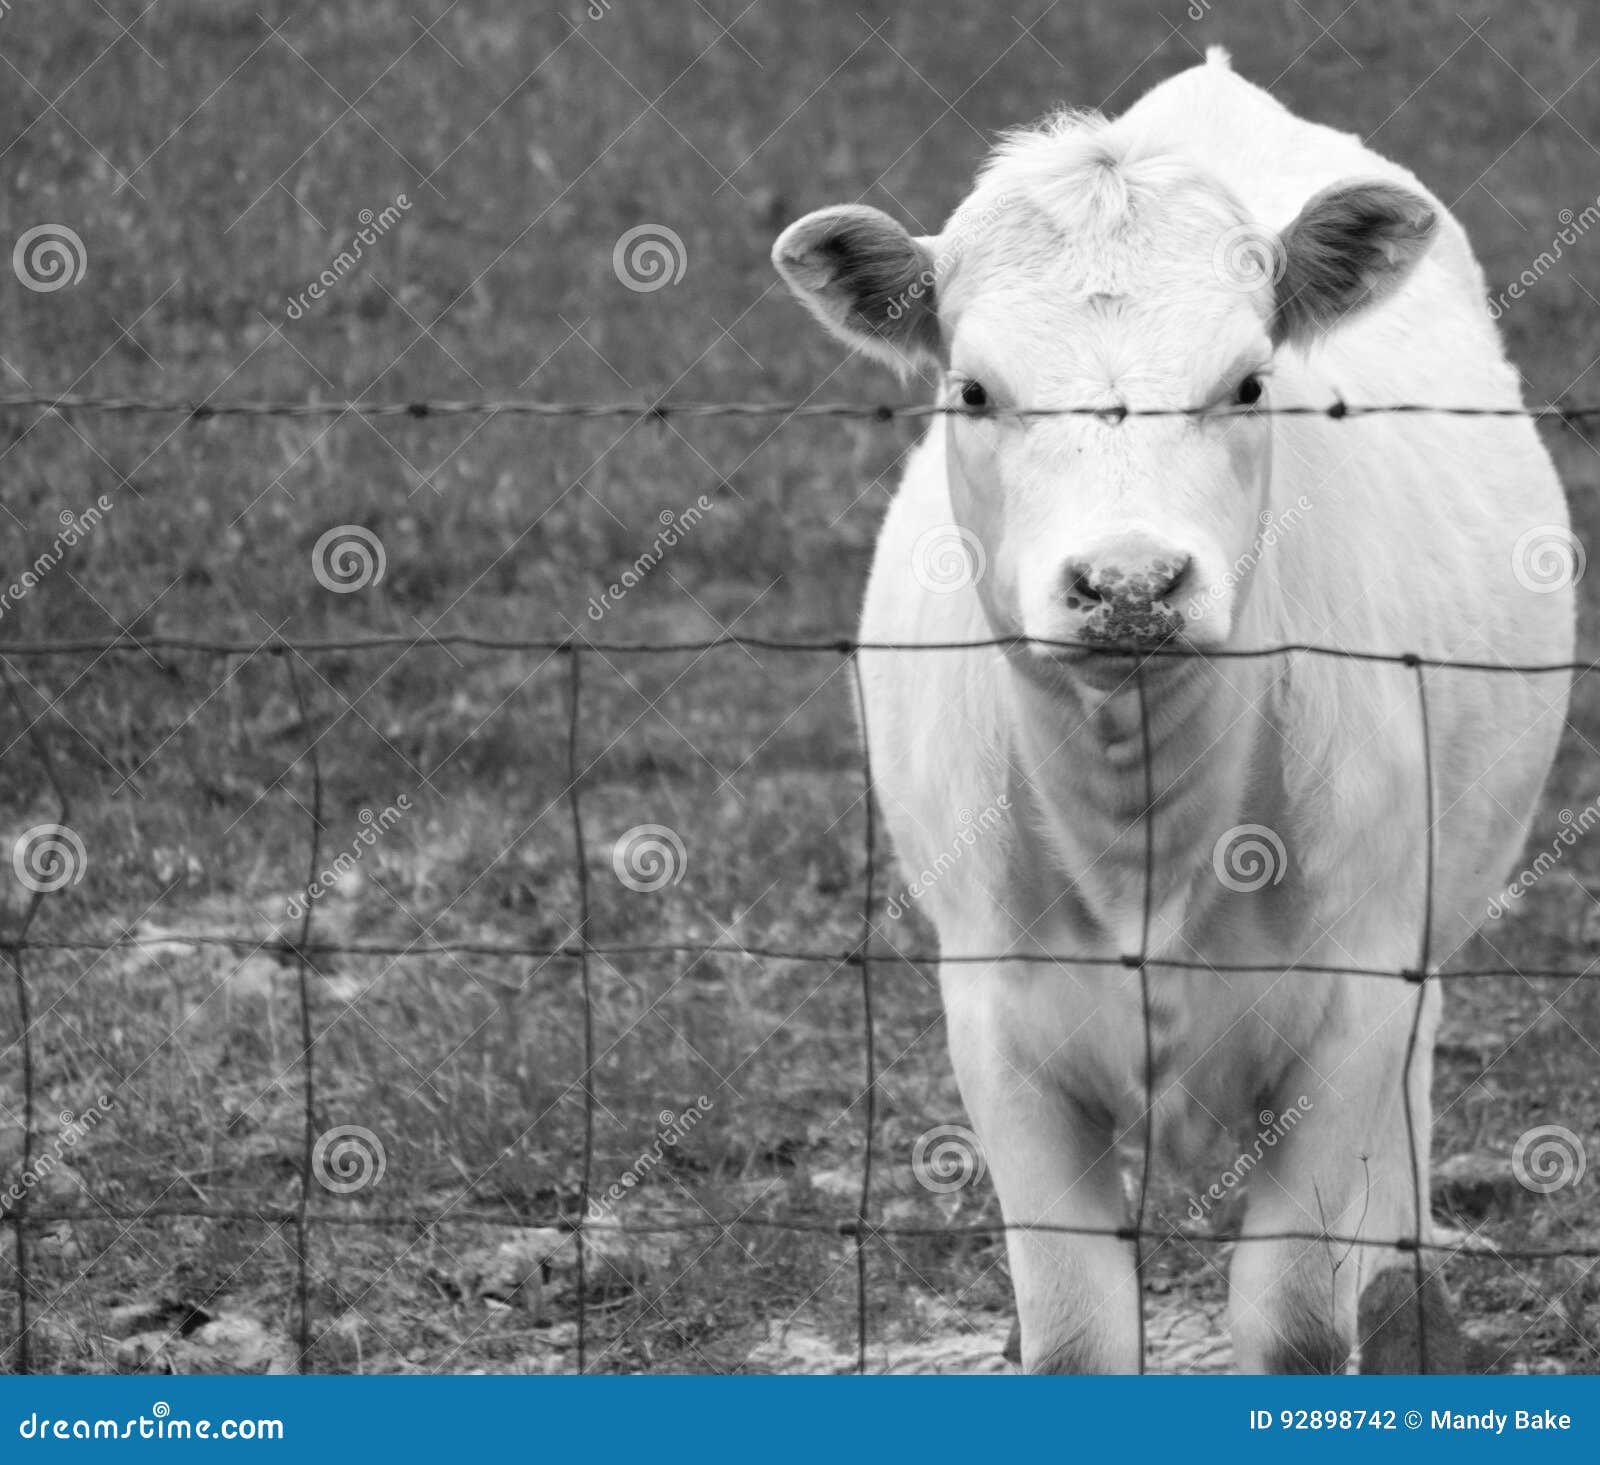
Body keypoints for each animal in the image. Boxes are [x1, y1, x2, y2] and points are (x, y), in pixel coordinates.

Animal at [772, 48, 1574, 1372]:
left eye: (1247, 383)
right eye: (972, 389)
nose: (1131, 583)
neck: (1142, 828)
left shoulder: (1350, 1007)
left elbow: (1293, 1320)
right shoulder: (999, 1028)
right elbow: (1073, 1333)